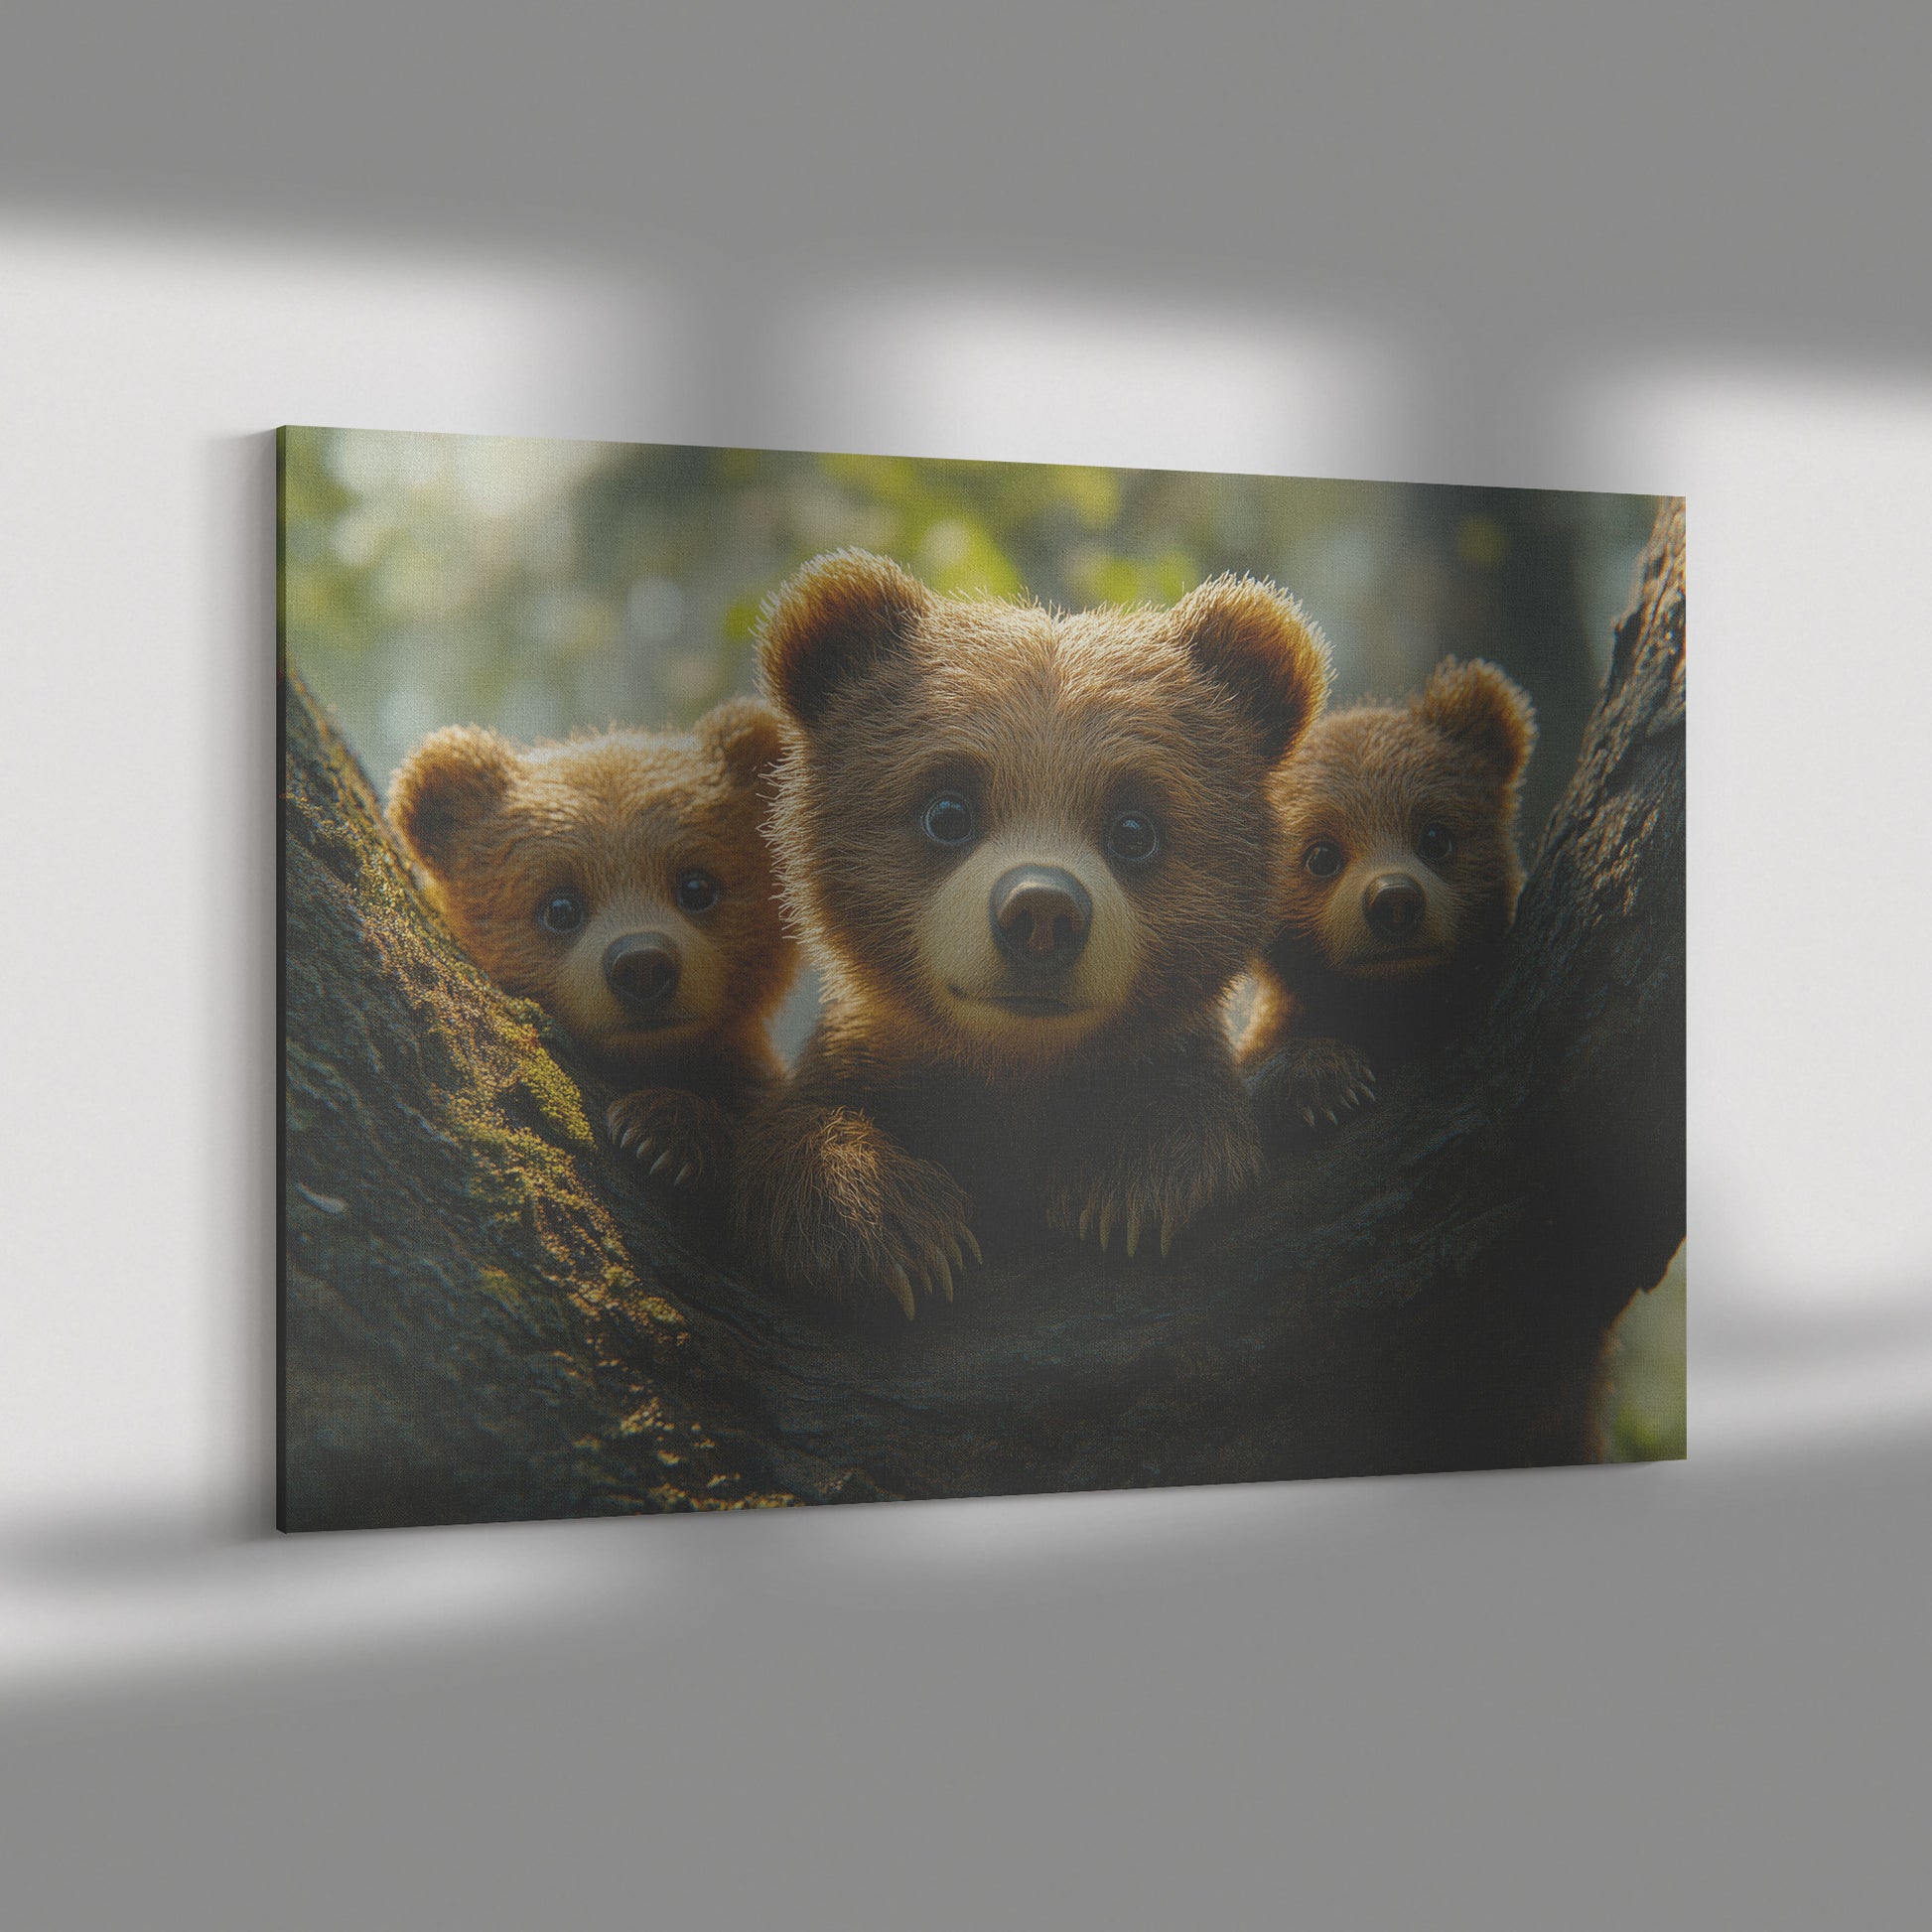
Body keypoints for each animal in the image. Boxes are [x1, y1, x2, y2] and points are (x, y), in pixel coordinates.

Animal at [730, 549, 1332, 1320]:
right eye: (948, 809)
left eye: (1134, 827)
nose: (1041, 913)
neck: (1016, 1072)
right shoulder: (871, 1066)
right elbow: (807, 1136)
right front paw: (895, 1229)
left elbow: (1182, 1110)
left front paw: (1128, 1180)